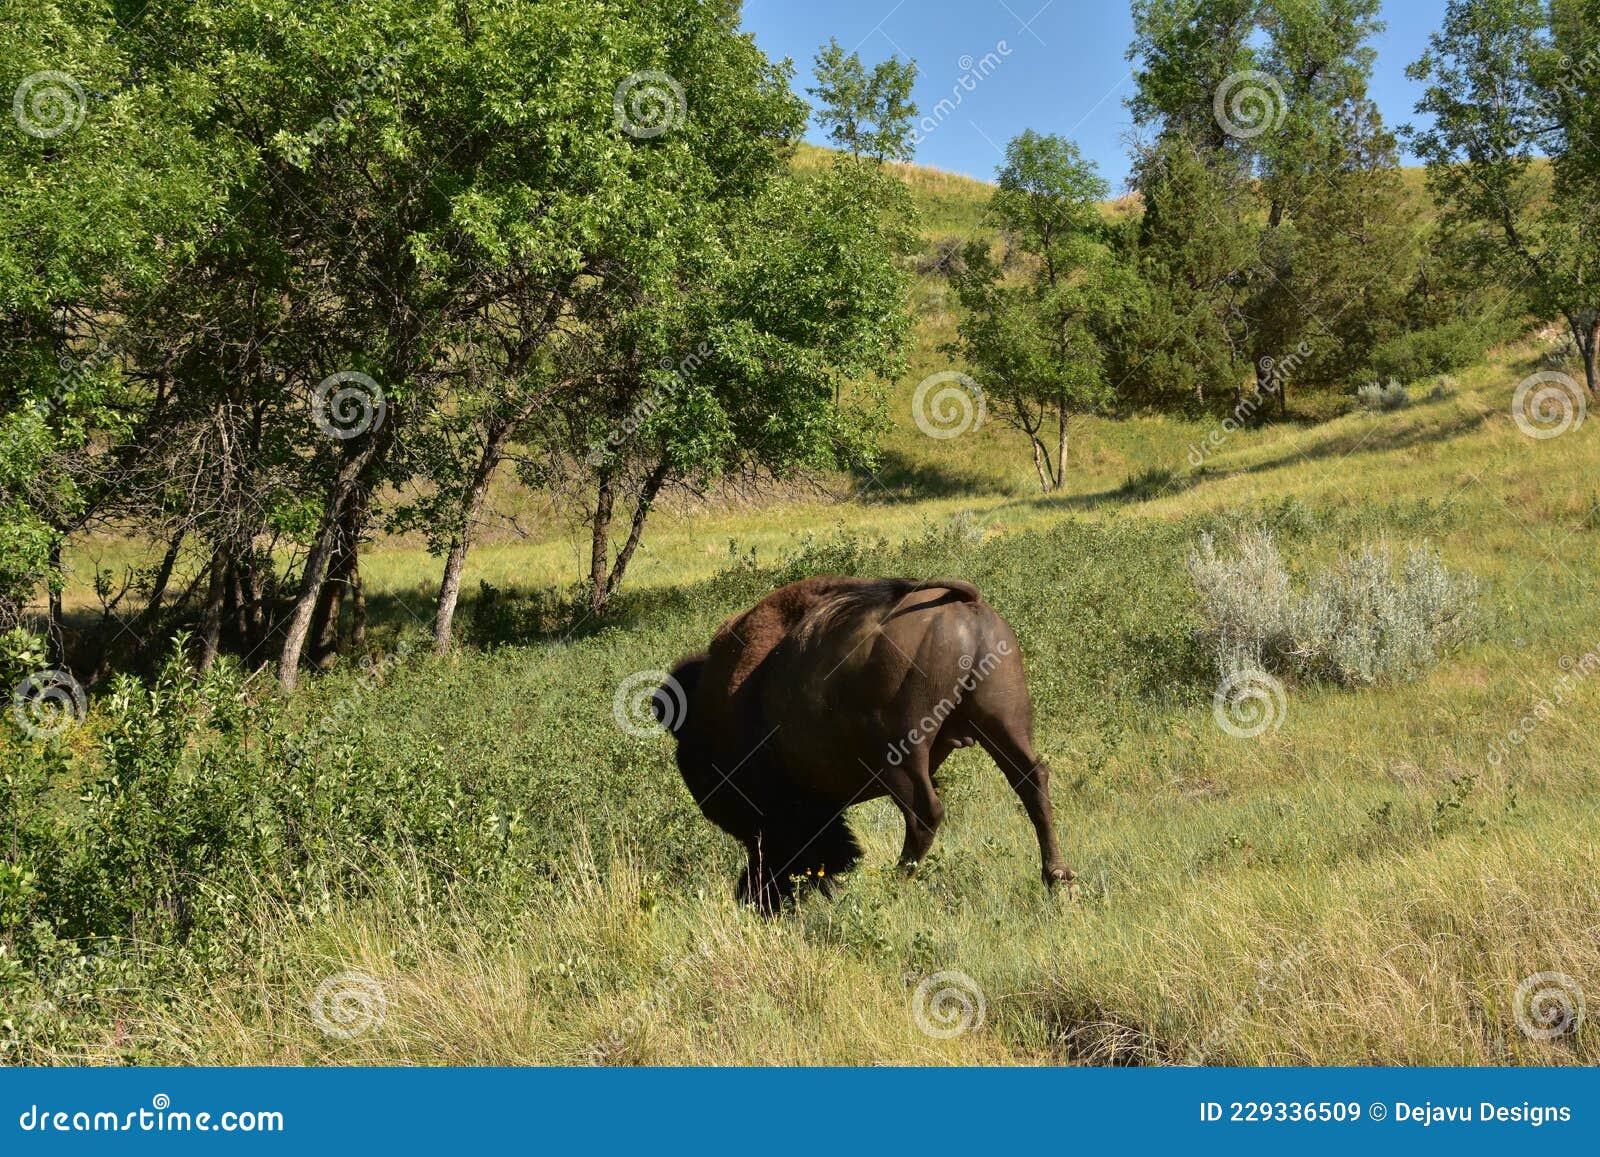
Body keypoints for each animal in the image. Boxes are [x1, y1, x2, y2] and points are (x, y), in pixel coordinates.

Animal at [655, 575, 1074, 911]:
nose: (752, 899)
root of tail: (961, 604)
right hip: (1002, 722)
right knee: (1031, 782)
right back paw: (1059, 879)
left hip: (901, 755)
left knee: (925, 813)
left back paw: (892, 888)